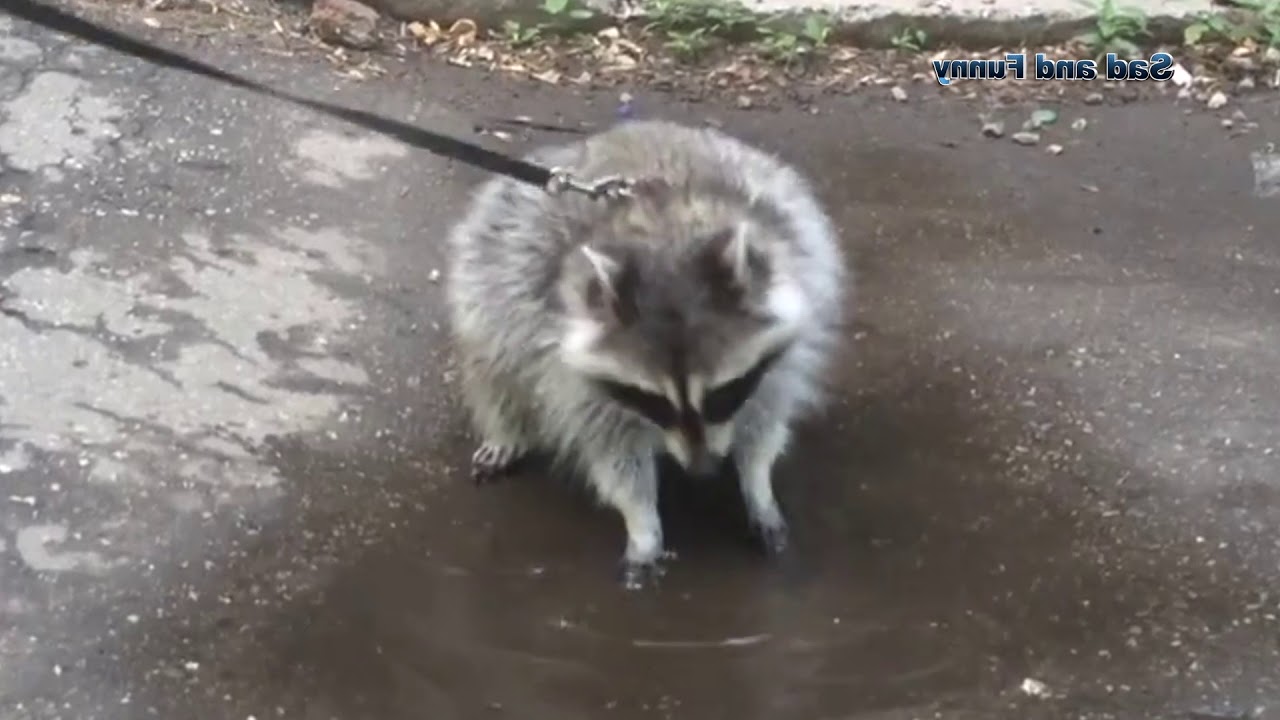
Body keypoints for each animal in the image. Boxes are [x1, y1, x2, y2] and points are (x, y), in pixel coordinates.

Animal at [443, 119, 847, 587]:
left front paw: (757, 485)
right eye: (656, 401)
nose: (703, 472)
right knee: (492, 357)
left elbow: (764, 420)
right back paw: (506, 429)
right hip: (493, 255)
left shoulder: (785, 342)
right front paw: (642, 523)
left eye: (721, 394)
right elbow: (613, 452)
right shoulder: (566, 366)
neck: (666, 239)